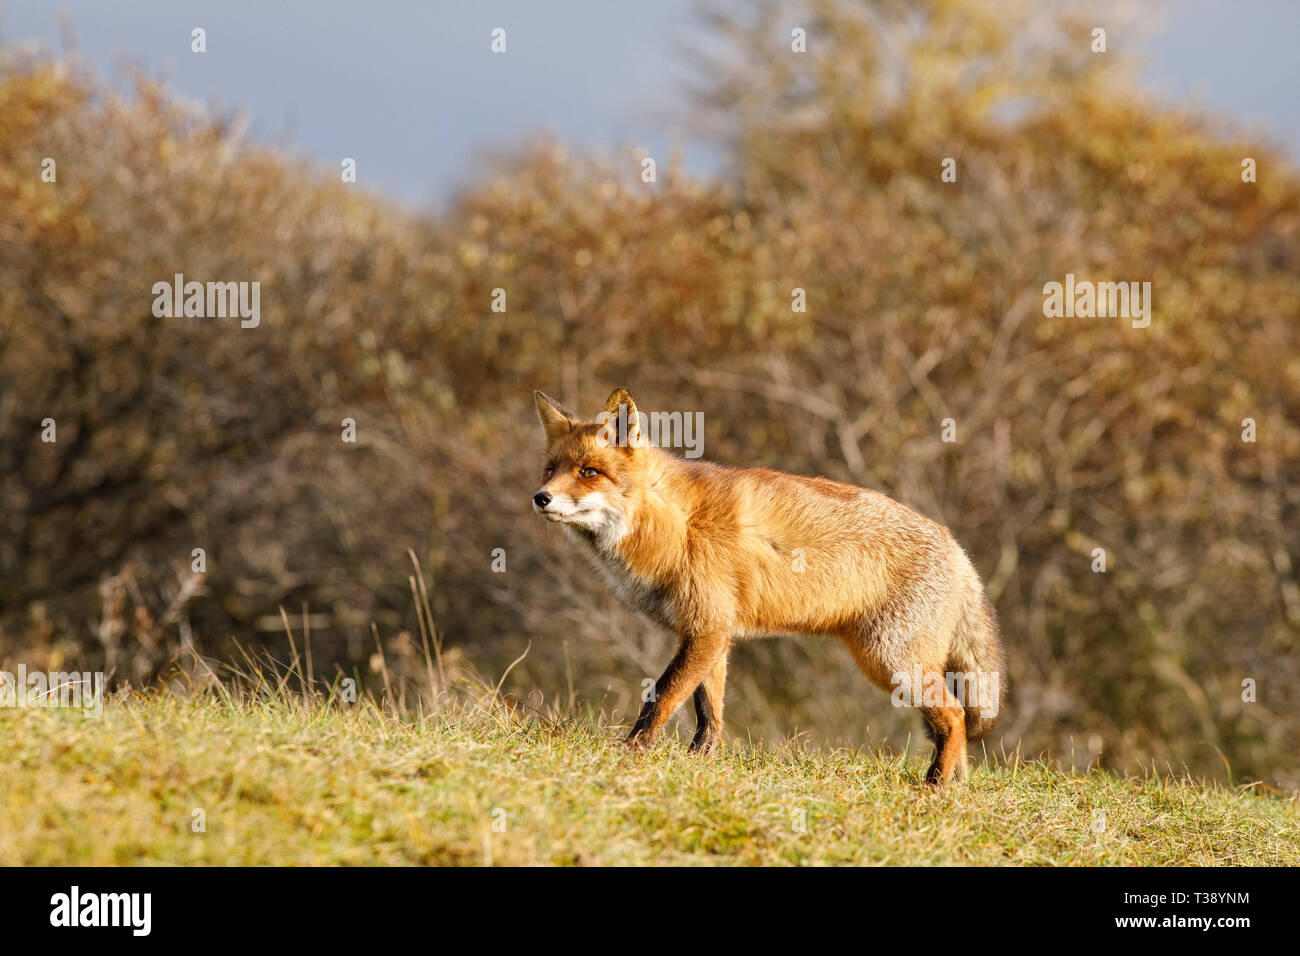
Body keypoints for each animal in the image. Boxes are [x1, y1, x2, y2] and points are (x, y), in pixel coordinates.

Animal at [531, 387, 1006, 788]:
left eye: (589, 472)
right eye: (551, 470)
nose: (540, 497)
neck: (676, 524)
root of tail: (955, 545)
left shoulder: (706, 628)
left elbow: (661, 698)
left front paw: (631, 753)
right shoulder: (711, 632)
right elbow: (709, 712)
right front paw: (699, 761)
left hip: (892, 659)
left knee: (955, 717)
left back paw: (936, 785)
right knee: (955, 720)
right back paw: (957, 784)